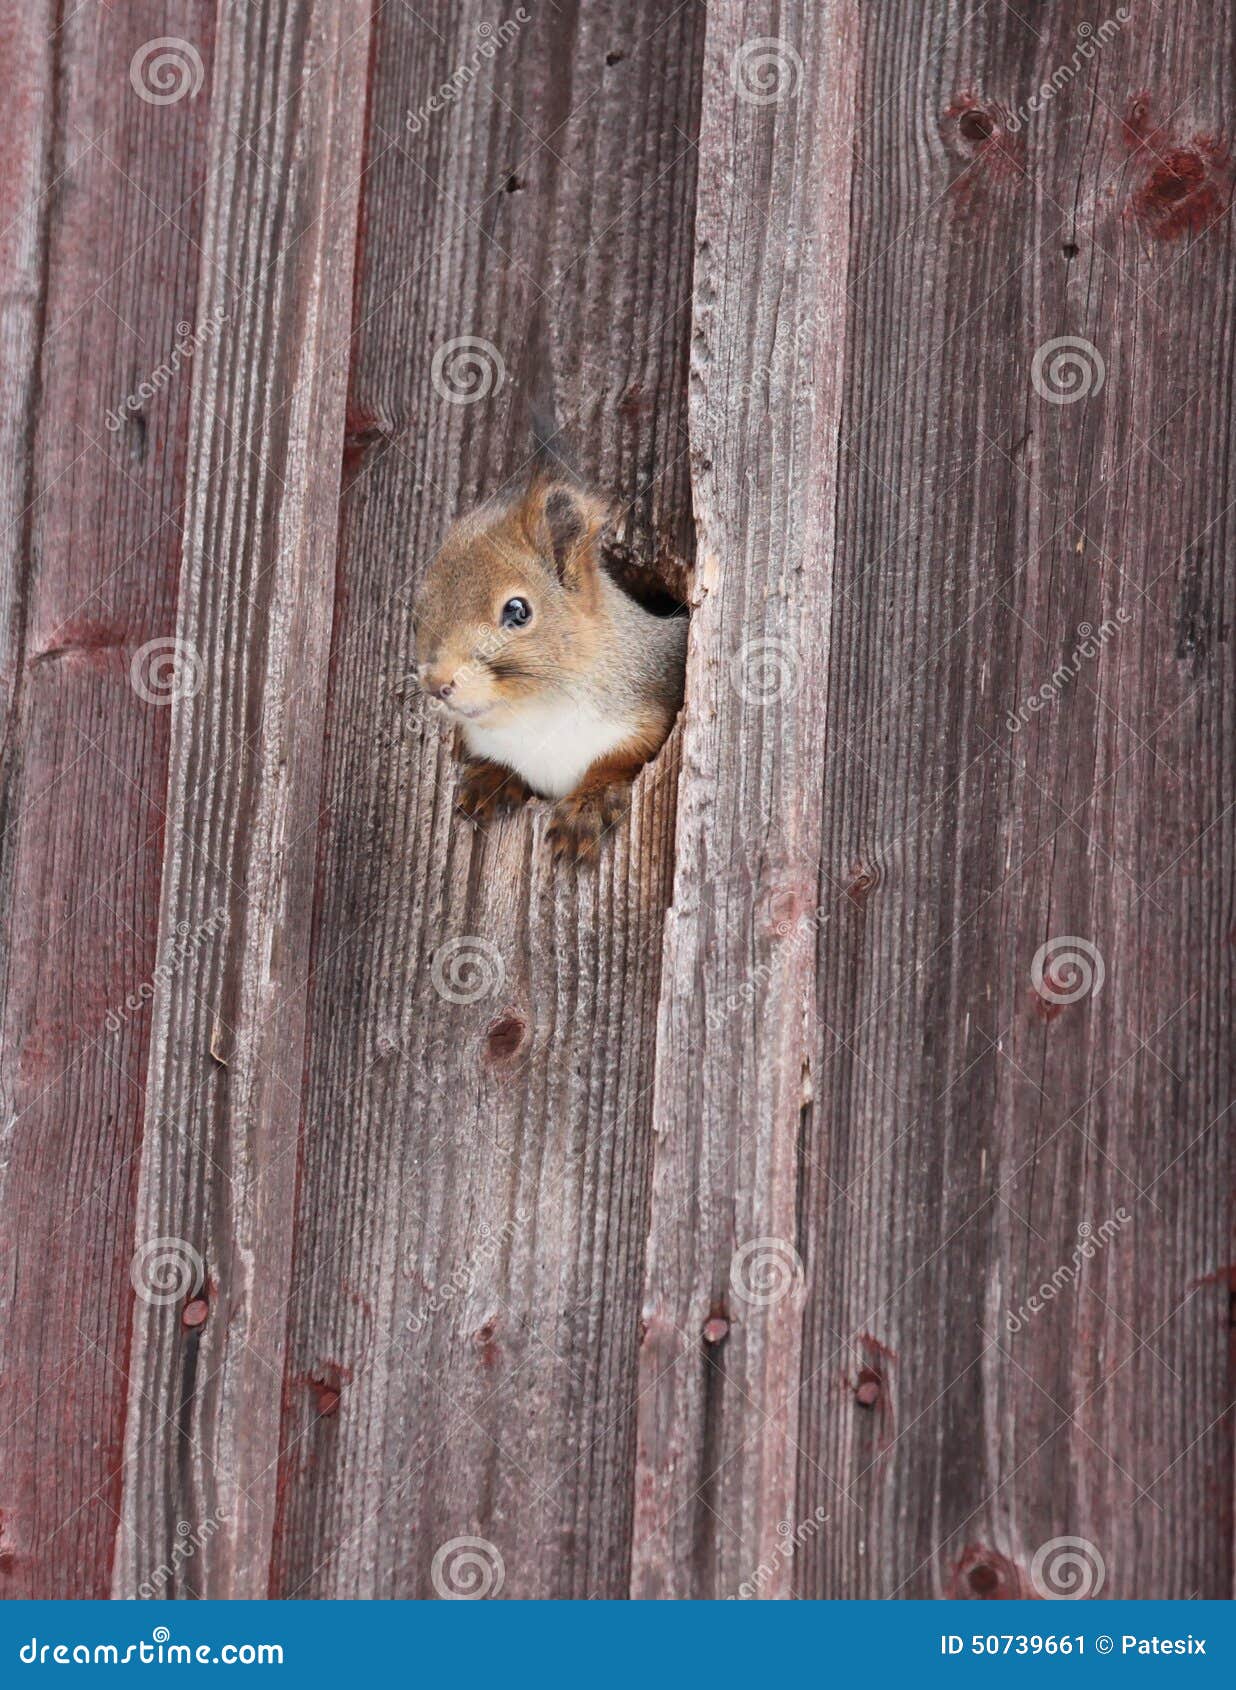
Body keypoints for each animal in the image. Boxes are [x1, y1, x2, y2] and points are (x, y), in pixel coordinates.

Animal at [413, 421, 686, 861]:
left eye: (518, 611)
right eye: (416, 616)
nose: (438, 684)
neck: (536, 716)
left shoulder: (651, 708)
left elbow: (619, 761)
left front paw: (588, 805)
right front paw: (489, 779)